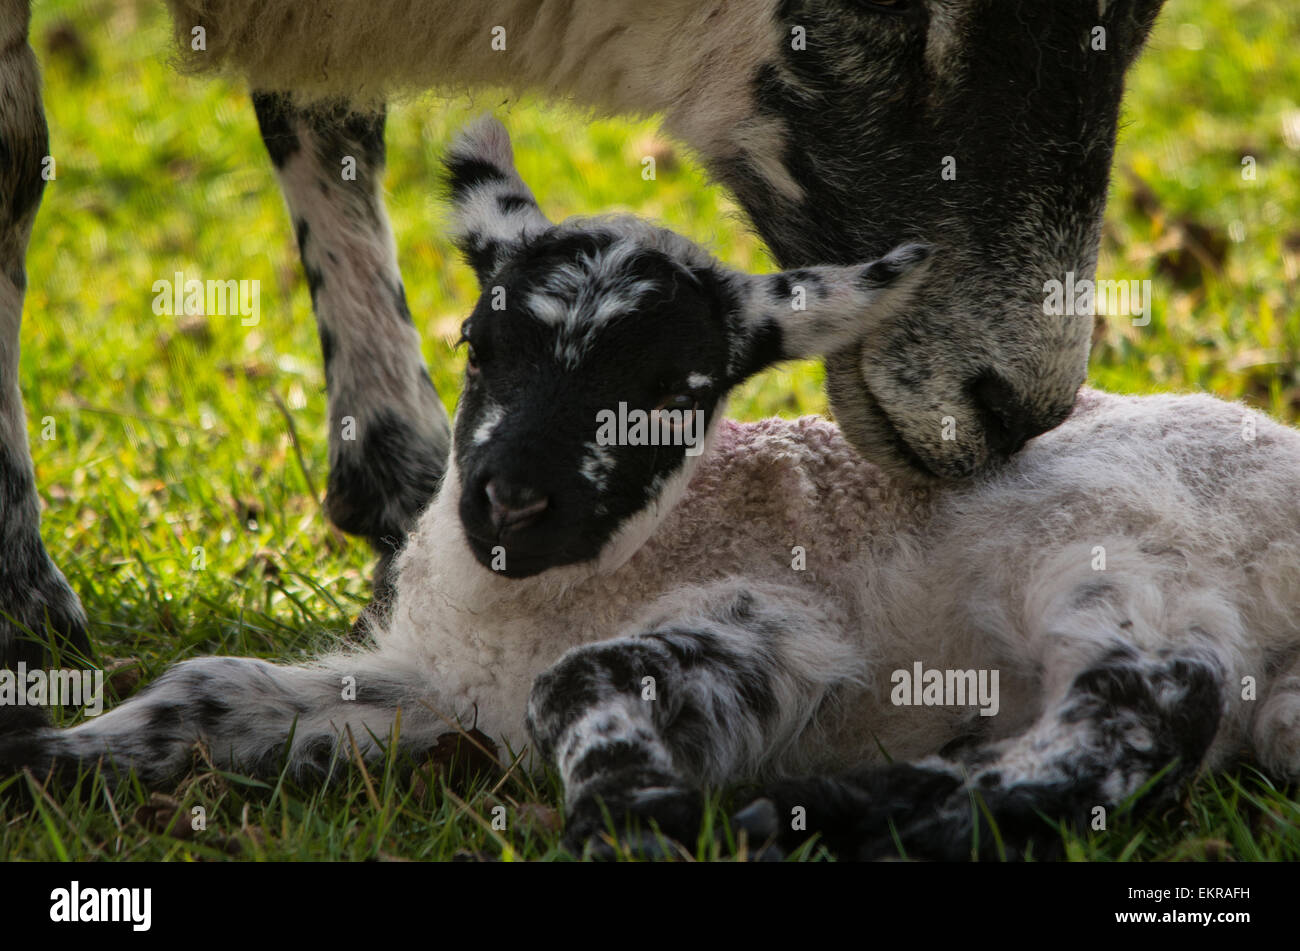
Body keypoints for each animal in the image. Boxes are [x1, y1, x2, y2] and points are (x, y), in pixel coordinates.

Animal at [6, 117, 1299, 860]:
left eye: (676, 391)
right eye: (478, 343)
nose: (509, 500)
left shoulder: (781, 626)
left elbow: (586, 684)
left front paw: (632, 818)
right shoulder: (435, 687)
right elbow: (207, 688)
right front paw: (43, 762)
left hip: (1124, 560)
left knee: (1143, 710)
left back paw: (862, 813)